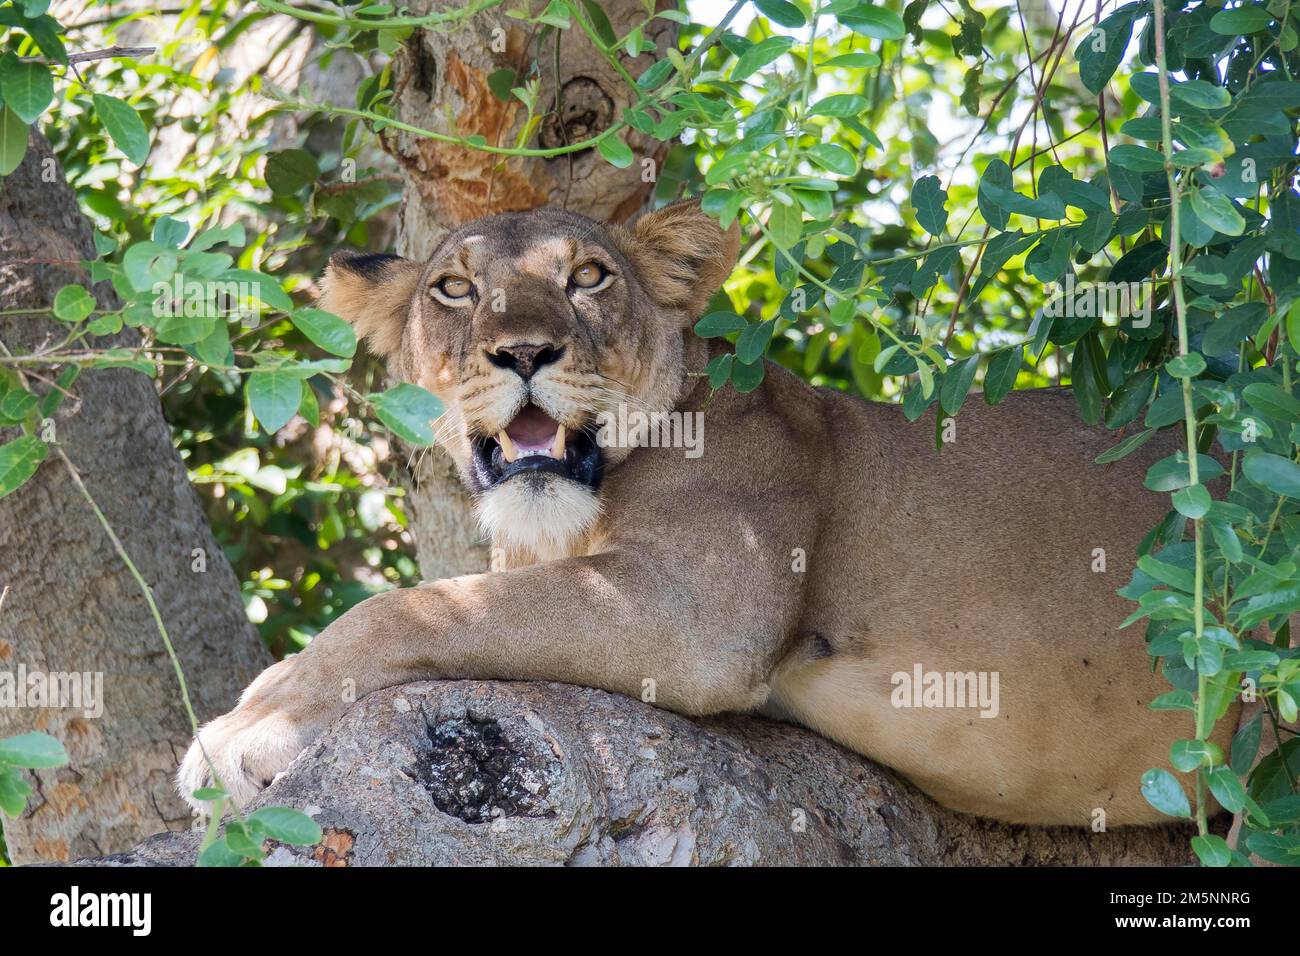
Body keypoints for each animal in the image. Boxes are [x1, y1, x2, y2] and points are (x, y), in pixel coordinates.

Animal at [178, 199, 1248, 828]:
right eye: (453, 288)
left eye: (589, 277)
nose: (522, 352)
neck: (571, 515)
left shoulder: (694, 606)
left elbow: (409, 607)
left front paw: (248, 731)